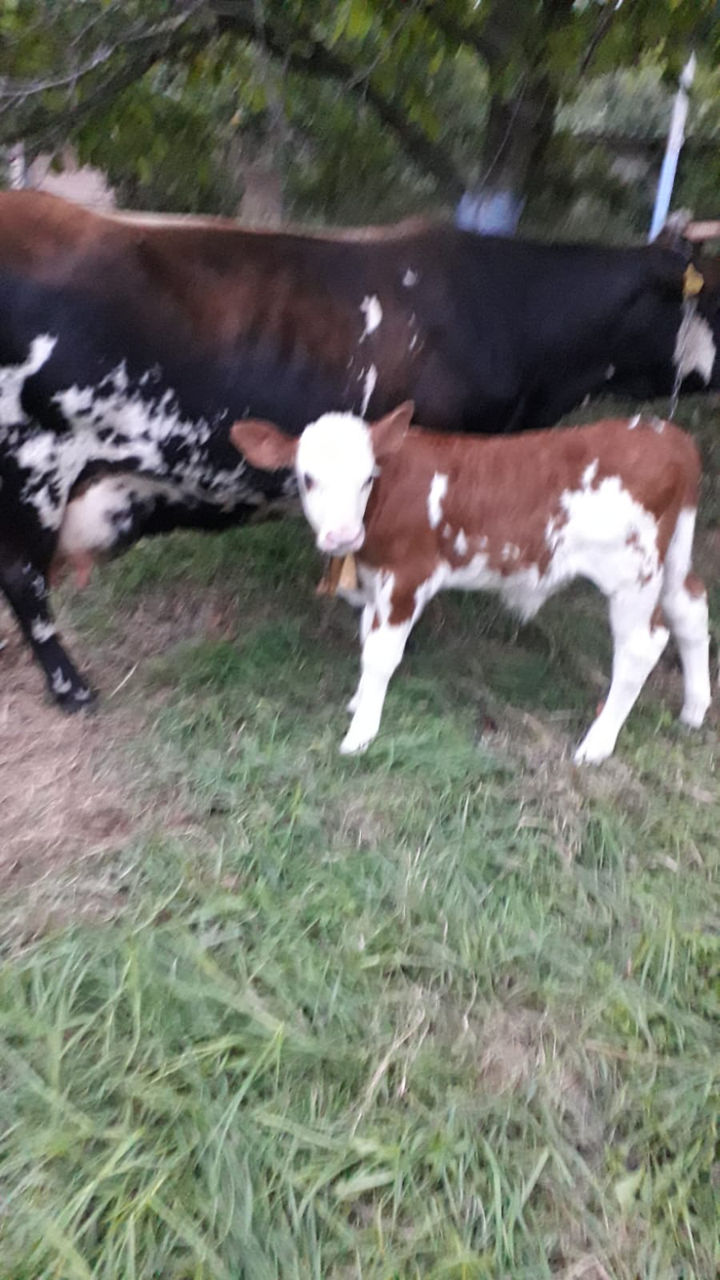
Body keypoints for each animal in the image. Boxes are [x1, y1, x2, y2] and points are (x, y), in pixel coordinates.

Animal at [230, 405, 711, 763]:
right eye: (307, 478)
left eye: (367, 477)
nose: (342, 537)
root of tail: (666, 434)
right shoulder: (375, 580)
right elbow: (367, 638)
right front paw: (359, 700)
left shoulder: (408, 576)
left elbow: (381, 654)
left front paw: (361, 733)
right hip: (672, 554)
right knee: (689, 606)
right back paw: (694, 710)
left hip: (632, 572)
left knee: (641, 646)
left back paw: (596, 744)